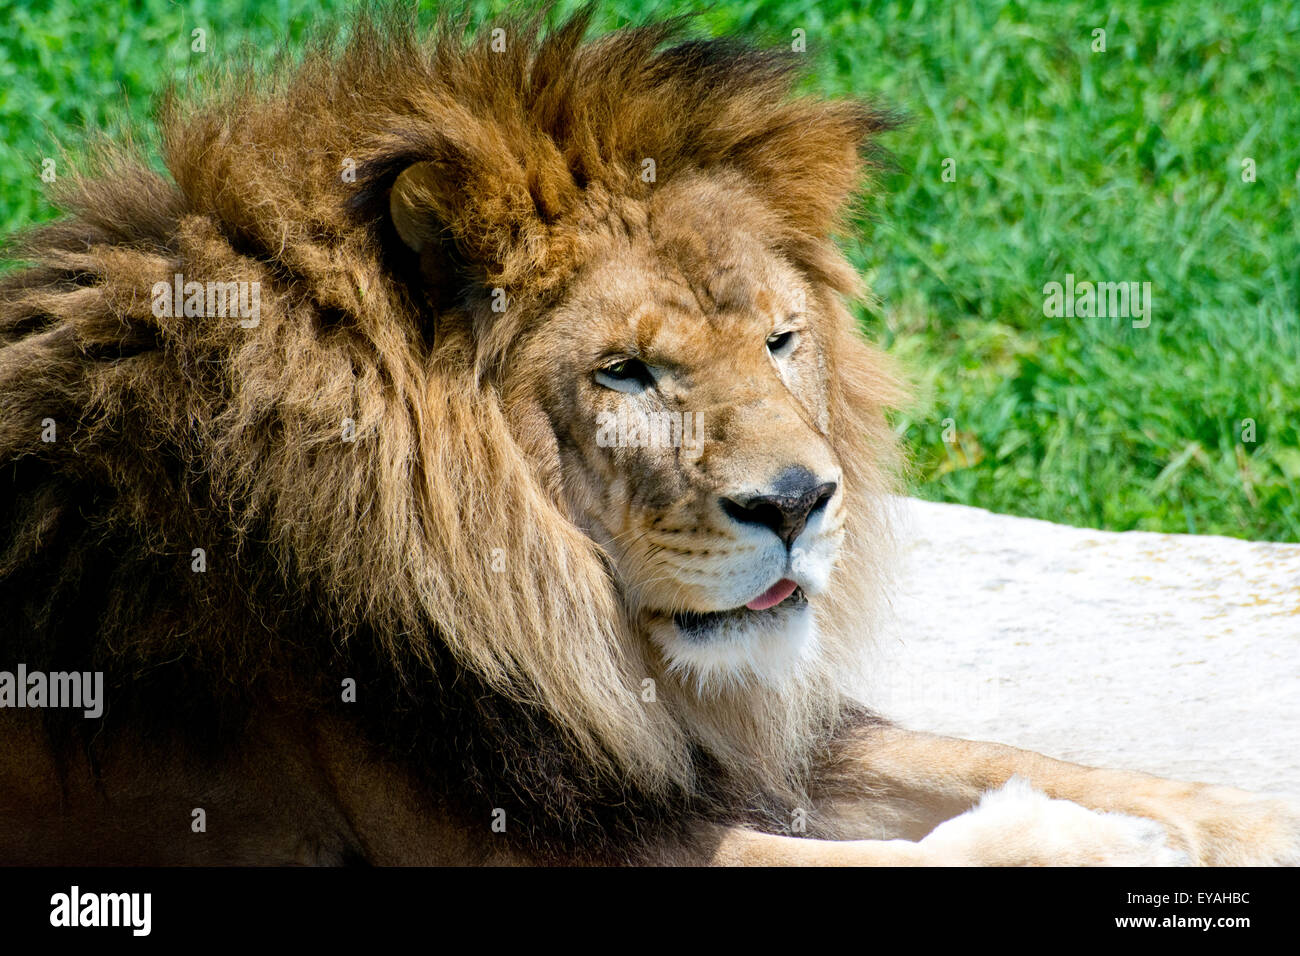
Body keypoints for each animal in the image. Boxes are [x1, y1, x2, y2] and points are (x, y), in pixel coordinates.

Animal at [0, 8, 1295, 866]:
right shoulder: (512, 839)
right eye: (624, 371)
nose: (798, 505)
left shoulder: (721, 747)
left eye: (779, 340)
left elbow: (990, 756)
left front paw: (1231, 820)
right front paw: (1087, 843)